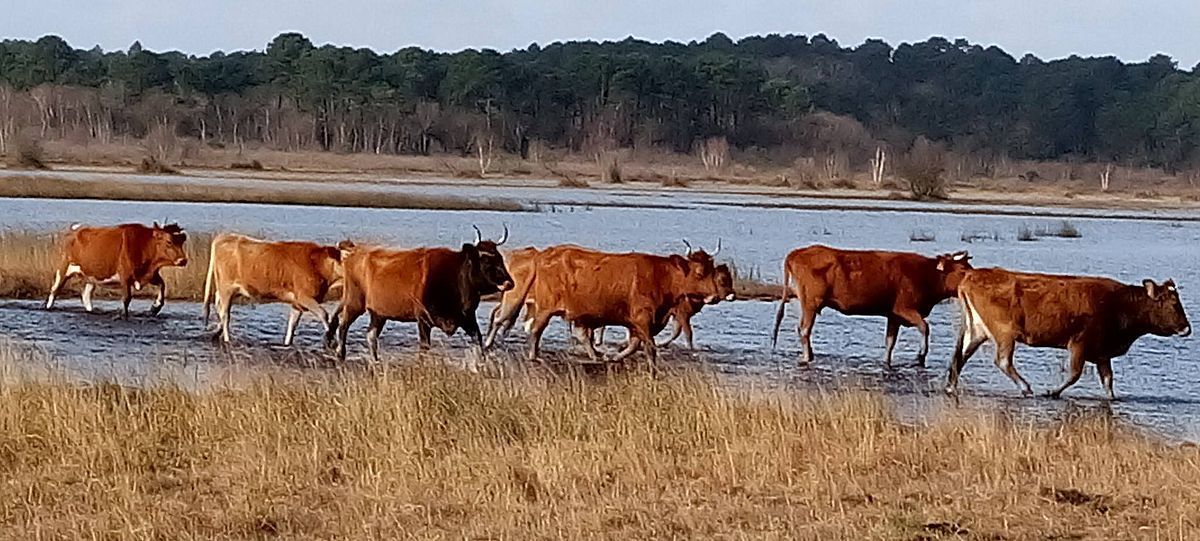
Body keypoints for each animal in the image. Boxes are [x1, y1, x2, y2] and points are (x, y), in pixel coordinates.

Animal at [45, 222, 189, 319]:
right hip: (64, 268)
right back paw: (48, 308)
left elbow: (162, 286)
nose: (183, 260)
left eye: (182, 240)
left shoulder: (151, 275)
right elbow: (127, 298)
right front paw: (123, 315)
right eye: (169, 241)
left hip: (91, 276)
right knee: (54, 290)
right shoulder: (125, 276)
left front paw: (155, 308)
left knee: (86, 295)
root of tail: (76, 230)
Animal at [201, 233, 349, 345]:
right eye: (346, 258)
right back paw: (227, 339)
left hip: (231, 290)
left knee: (219, 305)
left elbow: (292, 325)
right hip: (226, 288)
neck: (318, 264)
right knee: (225, 314)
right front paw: (332, 340)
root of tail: (226, 235)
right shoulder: (304, 297)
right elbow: (324, 314)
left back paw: (217, 332)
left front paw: (287, 344)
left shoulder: (297, 303)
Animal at [327, 226, 514, 363]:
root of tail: (355, 252)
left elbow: (479, 340)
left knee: (371, 336)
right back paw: (340, 354)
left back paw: (375, 360)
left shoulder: (467, 318)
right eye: (486, 261)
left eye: (500, 258)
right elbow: (424, 347)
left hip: (378, 313)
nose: (509, 283)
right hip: (354, 302)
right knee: (343, 326)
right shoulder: (423, 318)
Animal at [771, 245, 973, 367]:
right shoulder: (905, 309)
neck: (926, 275)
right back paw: (807, 357)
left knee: (801, 329)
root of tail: (799, 251)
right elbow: (925, 327)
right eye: (962, 270)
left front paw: (887, 362)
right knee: (805, 329)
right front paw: (920, 355)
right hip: (811, 303)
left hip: (806, 303)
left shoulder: (894, 315)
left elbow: (890, 342)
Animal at [945, 269, 1191, 399]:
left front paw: (1112, 398)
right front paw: (1052, 391)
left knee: (960, 357)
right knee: (1003, 361)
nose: (1187, 328)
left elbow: (1108, 380)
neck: (1119, 304)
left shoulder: (1102, 353)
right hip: (1005, 333)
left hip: (977, 331)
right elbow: (1074, 374)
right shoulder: (1079, 344)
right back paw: (1025, 387)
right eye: (1173, 303)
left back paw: (951, 385)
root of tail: (973, 275)